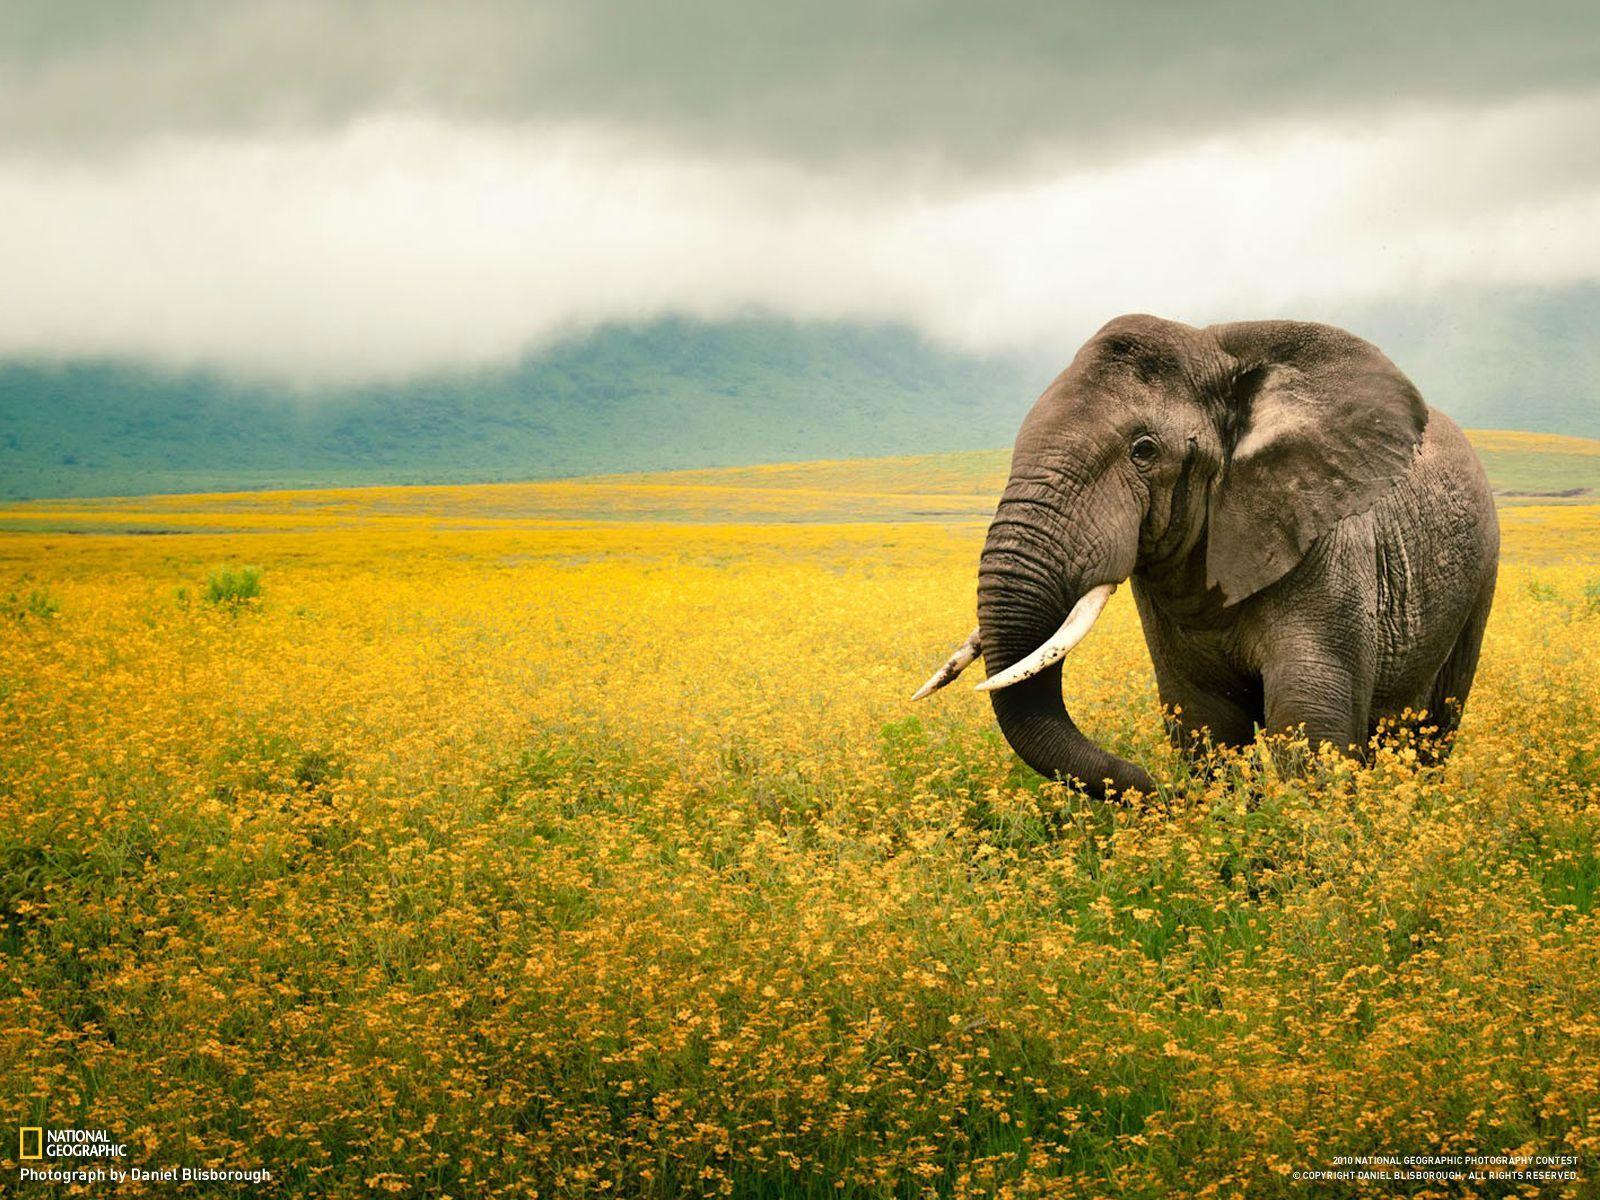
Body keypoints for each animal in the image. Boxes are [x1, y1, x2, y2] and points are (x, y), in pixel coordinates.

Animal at [914, 314, 1500, 799]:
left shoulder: (1331, 547)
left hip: (1481, 575)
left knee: (1433, 727)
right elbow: (1206, 721)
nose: (1155, 788)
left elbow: (1310, 724)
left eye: (1144, 451)